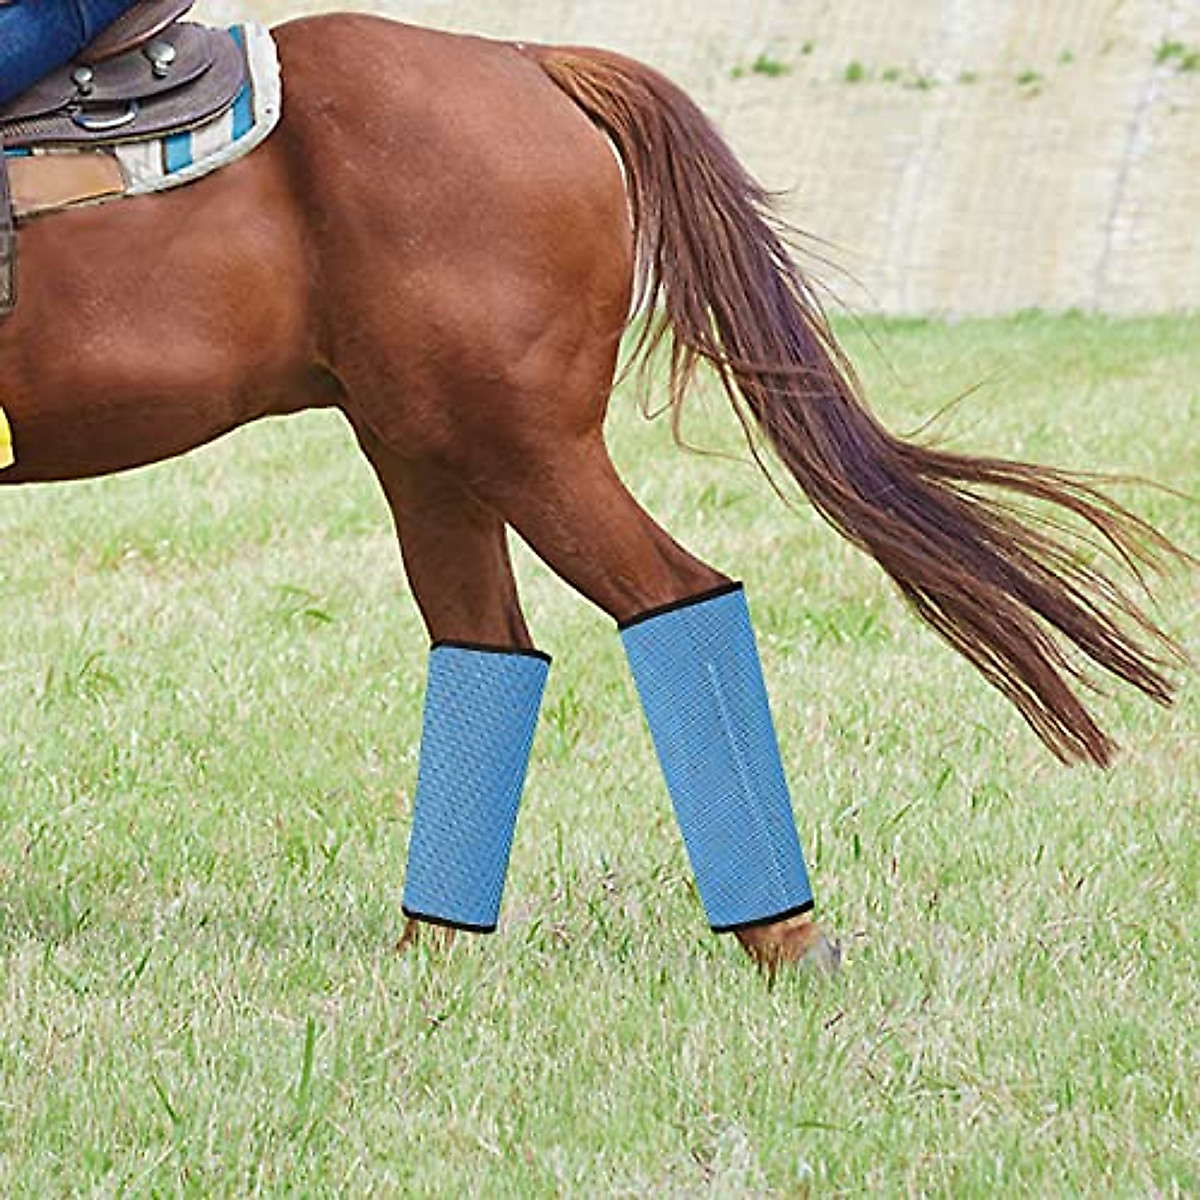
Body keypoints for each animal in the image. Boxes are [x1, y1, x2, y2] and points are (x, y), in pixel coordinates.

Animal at [0, 13, 1185, 970]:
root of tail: (527, 61)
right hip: (430, 453)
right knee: (488, 645)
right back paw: (435, 951)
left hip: (530, 454)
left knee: (673, 595)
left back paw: (782, 937)